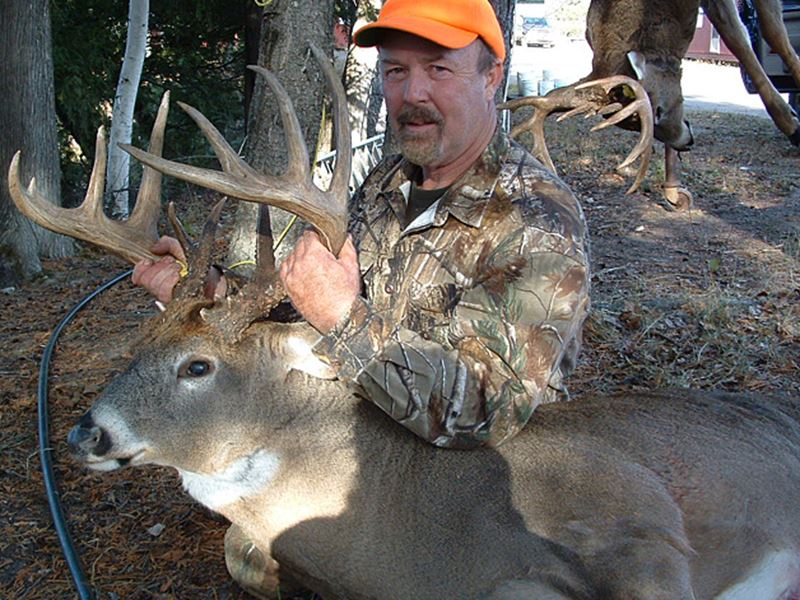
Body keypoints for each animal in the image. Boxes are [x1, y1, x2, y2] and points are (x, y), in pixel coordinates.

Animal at [503, 0, 800, 211]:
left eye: (658, 111)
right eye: (634, 127)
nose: (686, 141)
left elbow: (759, 35)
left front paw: (792, 121)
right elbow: (742, 37)